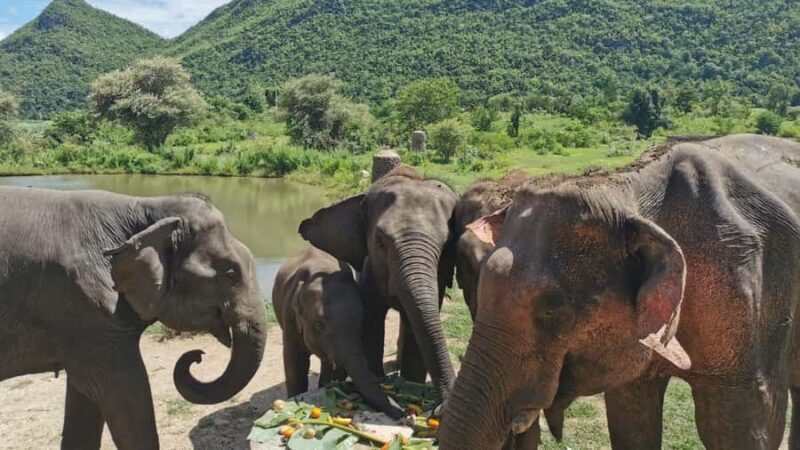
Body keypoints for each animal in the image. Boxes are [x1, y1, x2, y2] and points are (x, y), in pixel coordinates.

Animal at [0, 188, 267, 450]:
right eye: (230, 273)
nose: (198, 355)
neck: (145, 206)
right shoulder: (86, 308)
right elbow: (126, 390)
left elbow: (85, 395)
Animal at [272, 246, 405, 419]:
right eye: (319, 324)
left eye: (362, 319)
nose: (404, 413)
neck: (321, 270)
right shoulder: (289, 316)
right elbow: (294, 362)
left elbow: (332, 369)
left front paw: (327, 387)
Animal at [299, 166, 458, 403]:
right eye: (380, 243)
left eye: (446, 245)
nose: (443, 403)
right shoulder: (369, 269)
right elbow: (373, 318)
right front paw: (379, 380)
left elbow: (417, 323)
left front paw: (411, 384)